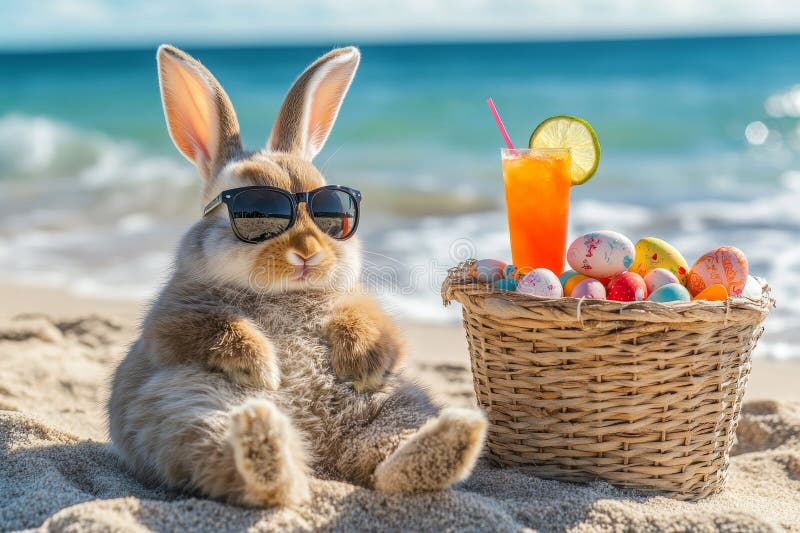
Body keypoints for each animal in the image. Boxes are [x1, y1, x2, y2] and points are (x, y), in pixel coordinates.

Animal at [107, 44, 487, 508]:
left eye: (331, 213)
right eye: (255, 212)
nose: (307, 253)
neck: (284, 292)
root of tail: (323, 449)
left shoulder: (355, 303)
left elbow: (371, 325)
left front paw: (360, 365)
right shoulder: (173, 316)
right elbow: (208, 329)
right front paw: (264, 368)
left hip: (395, 405)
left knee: (385, 460)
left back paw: (453, 437)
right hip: (190, 406)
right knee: (257, 474)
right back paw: (264, 441)